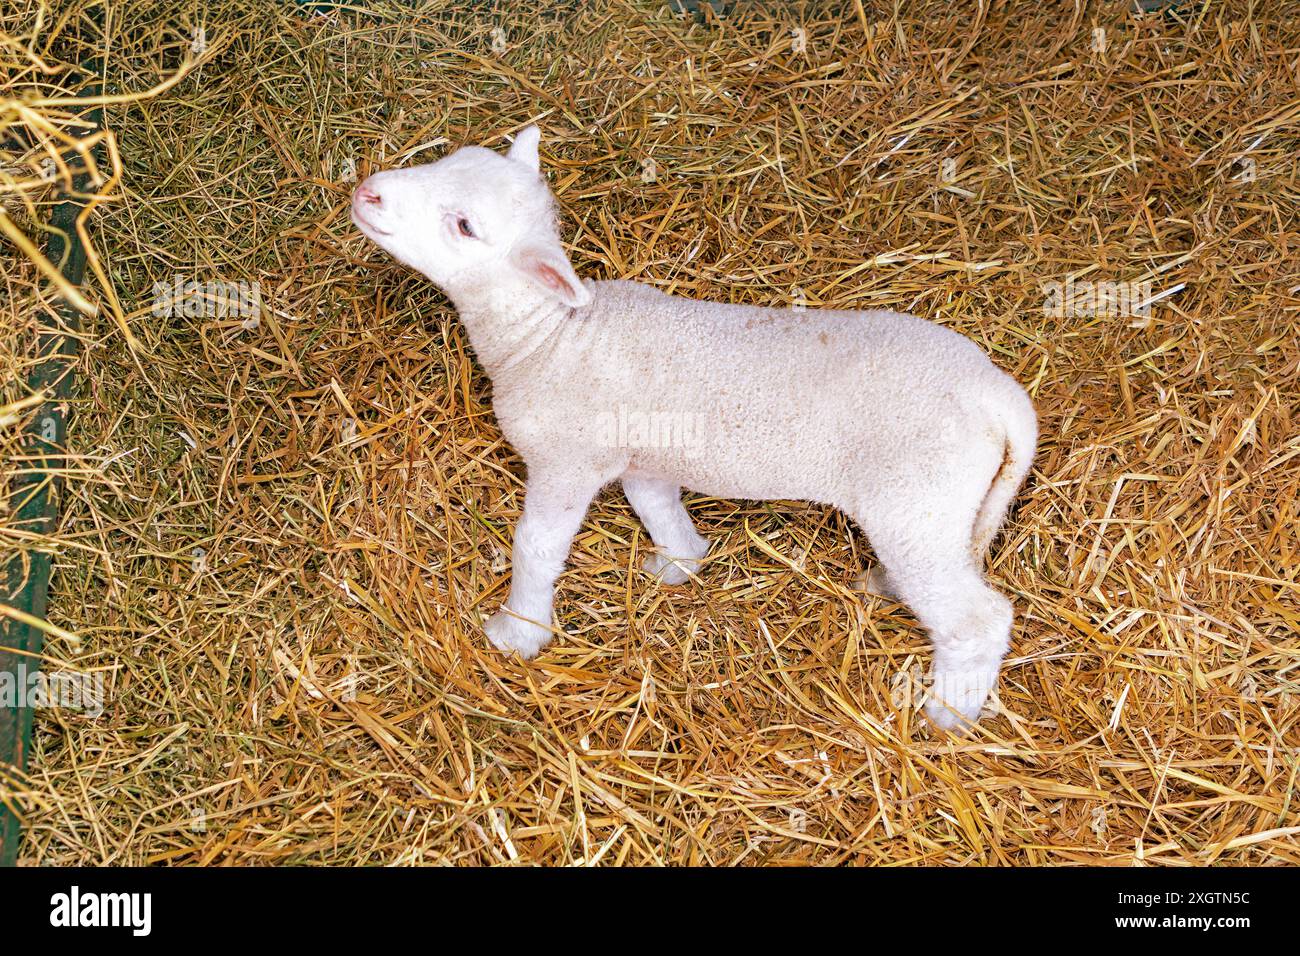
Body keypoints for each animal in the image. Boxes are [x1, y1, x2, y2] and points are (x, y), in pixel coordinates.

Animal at [351, 125, 1037, 729]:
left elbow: (537, 547)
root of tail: (1000, 396)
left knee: (979, 618)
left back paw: (949, 713)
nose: (367, 191)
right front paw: (680, 562)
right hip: (944, 509)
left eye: (464, 226)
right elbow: (656, 505)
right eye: (448, 159)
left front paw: (517, 631)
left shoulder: (566, 462)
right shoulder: (643, 456)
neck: (549, 336)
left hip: (915, 502)